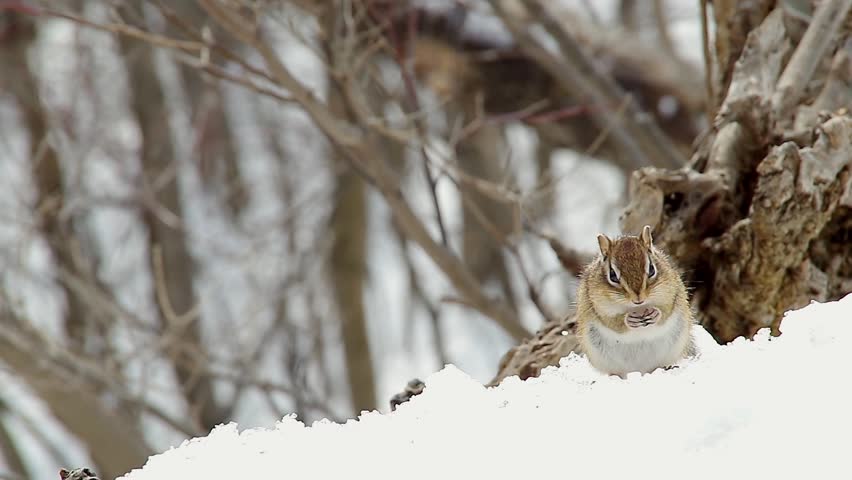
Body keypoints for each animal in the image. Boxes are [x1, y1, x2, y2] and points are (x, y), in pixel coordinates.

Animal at [576, 225, 696, 378]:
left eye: (652, 269)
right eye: (612, 275)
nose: (638, 298)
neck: (639, 308)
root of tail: (640, 371)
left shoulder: (672, 293)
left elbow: (666, 311)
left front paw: (655, 314)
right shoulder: (597, 306)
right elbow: (613, 322)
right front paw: (629, 319)